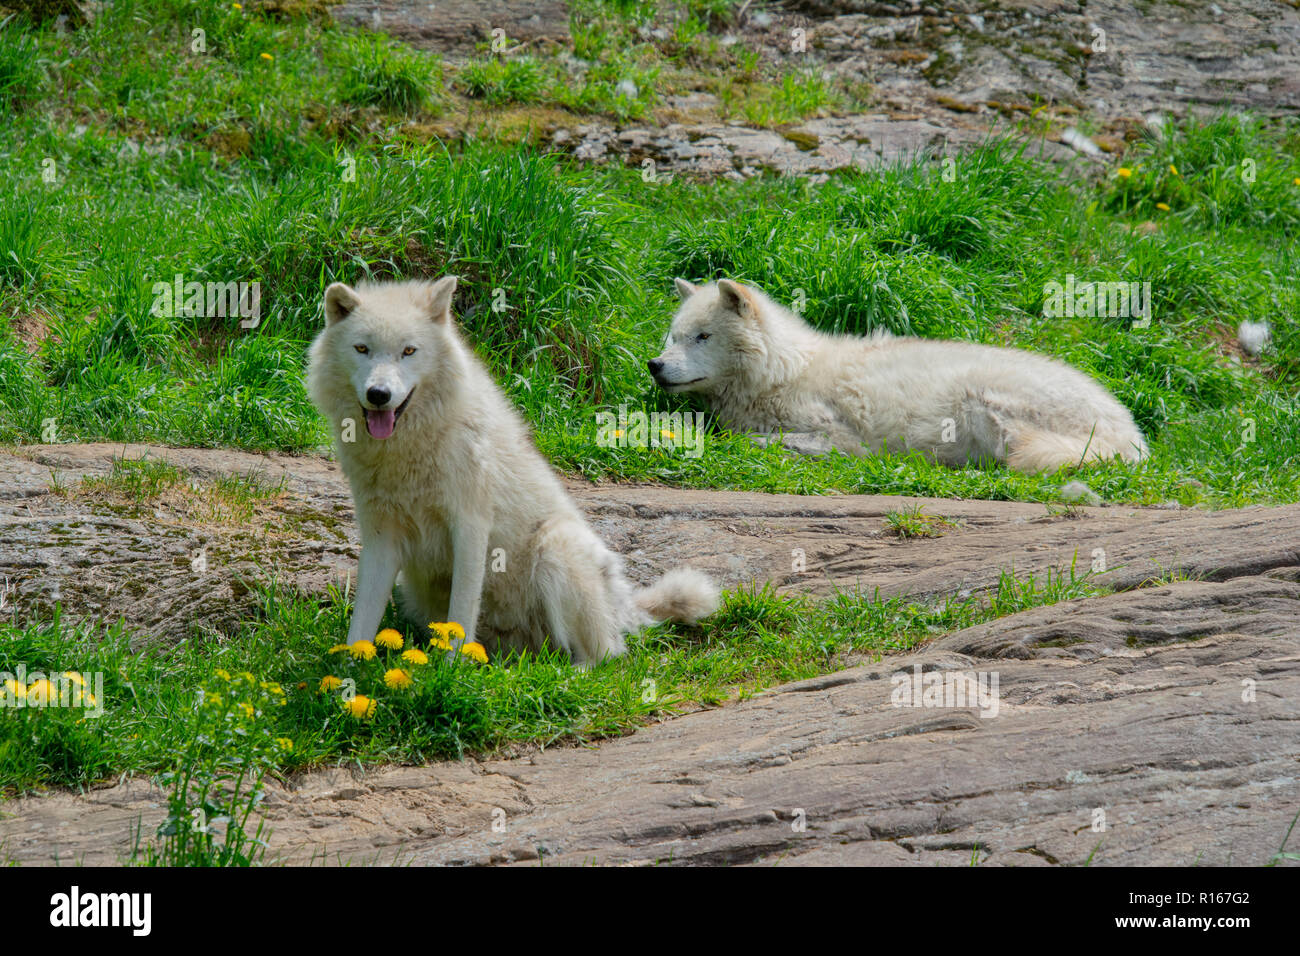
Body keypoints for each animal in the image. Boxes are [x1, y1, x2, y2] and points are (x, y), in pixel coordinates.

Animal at [306, 277, 718, 665]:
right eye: (362, 349)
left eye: (409, 351)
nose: (378, 394)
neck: (410, 449)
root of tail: (625, 605)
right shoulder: (380, 537)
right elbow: (362, 619)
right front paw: (349, 675)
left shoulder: (470, 528)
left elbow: (460, 616)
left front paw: (450, 671)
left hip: (556, 548)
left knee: (607, 656)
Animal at [649, 279, 1148, 473]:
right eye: (673, 337)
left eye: (703, 337)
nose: (655, 366)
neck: (782, 371)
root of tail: (1132, 434)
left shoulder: (840, 435)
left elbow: (757, 440)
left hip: (984, 403)